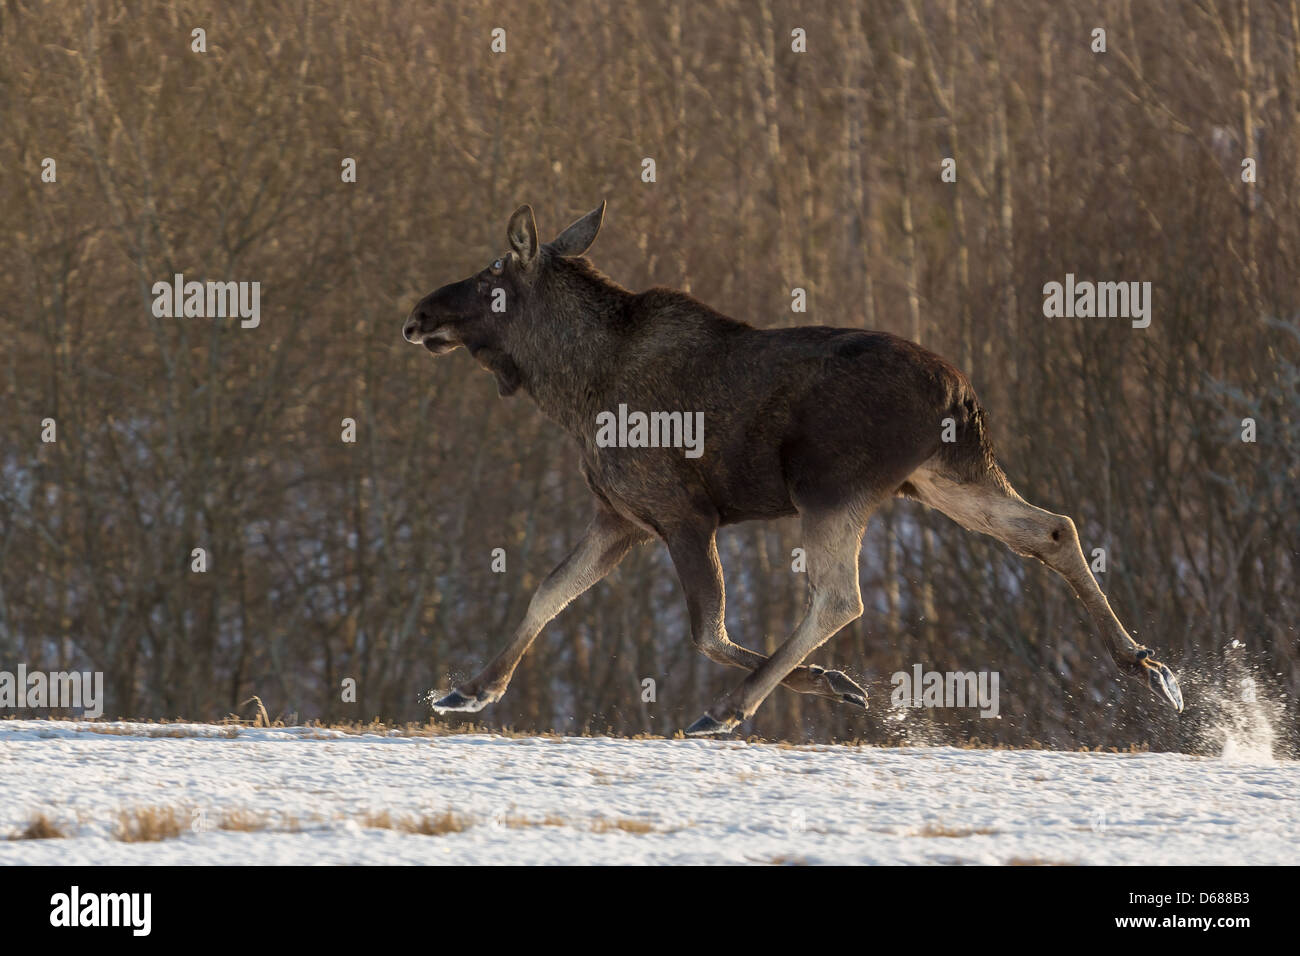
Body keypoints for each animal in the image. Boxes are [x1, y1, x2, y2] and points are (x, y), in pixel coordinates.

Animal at [402, 202, 1183, 736]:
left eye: (494, 271)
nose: (417, 314)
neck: (568, 389)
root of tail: (961, 391)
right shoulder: (619, 517)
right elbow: (548, 593)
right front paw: (470, 689)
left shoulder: (683, 513)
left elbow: (705, 631)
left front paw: (827, 684)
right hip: (940, 479)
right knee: (1051, 529)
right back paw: (1149, 666)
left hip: (833, 487)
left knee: (840, 598)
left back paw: (728, 709)